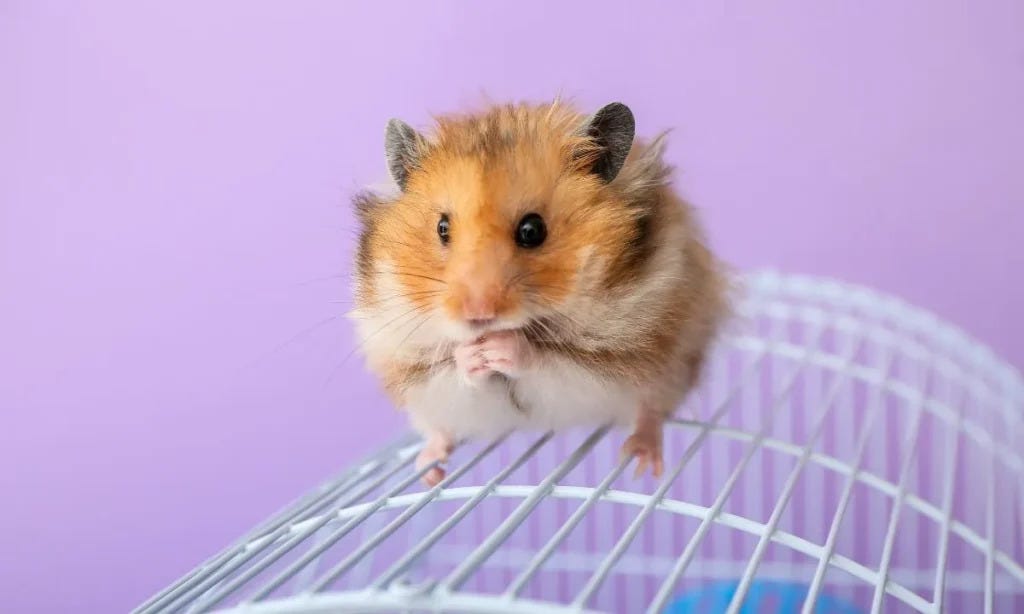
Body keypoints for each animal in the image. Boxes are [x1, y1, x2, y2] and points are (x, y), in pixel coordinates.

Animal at [349, 100, 728, 486]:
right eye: (442, 228)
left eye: (532, 230)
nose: (478, 315)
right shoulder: (412, 363)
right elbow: (454, 366)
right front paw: (474, 353)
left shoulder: (609, 358)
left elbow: (543, 356)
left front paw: (500, 347)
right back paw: (430, 471)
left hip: (671, 371)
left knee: (650, 412)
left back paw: (642, 462)